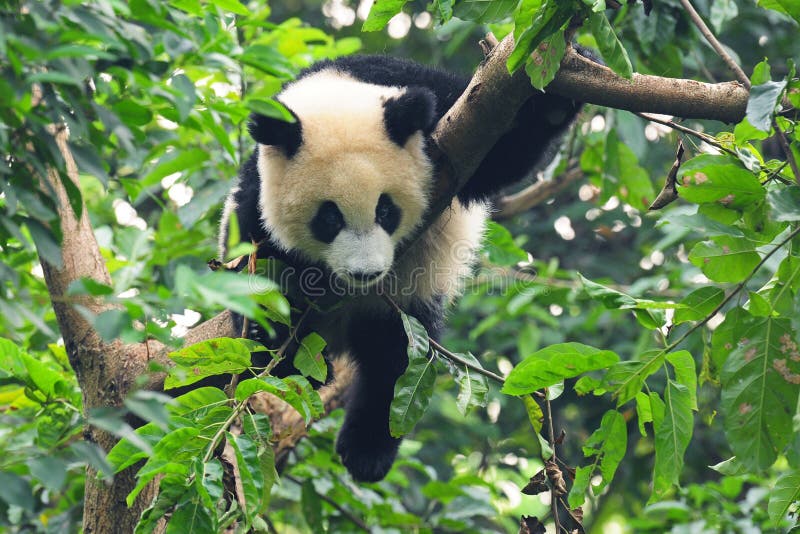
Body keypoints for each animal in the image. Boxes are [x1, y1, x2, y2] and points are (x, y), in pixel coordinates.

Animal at [219, 54, 583, 482]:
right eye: (329, 218)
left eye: (385, 210)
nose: (365, 274)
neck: (337, 91)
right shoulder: (258, 188)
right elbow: (252, 252)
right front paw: (272, 334)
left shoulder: (446, 126)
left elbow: (503, 154)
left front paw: (558, 92)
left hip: (404, 304)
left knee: (393, 366)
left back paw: (366, 452)